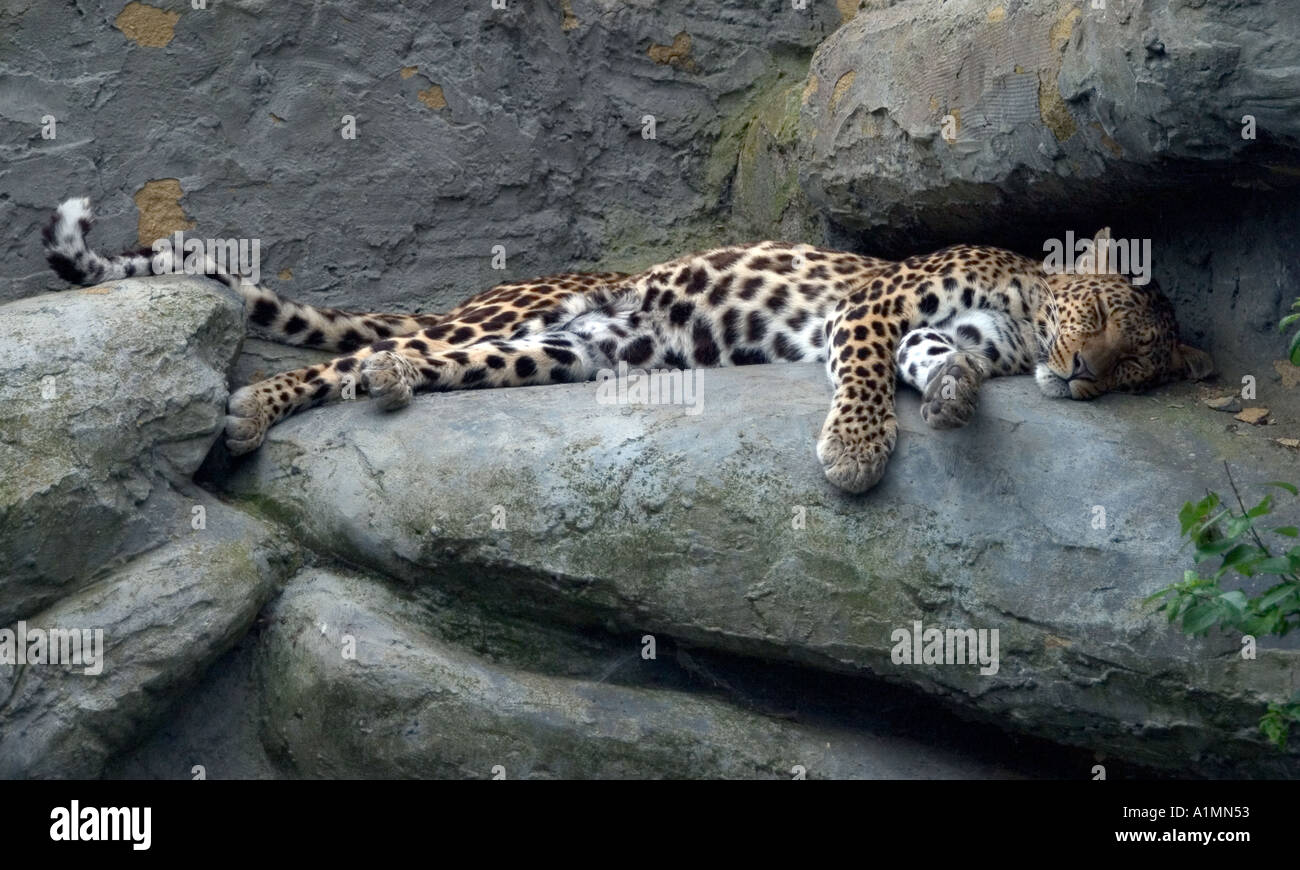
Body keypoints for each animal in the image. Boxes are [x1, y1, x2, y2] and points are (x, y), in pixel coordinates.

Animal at [43, 197, 1214, 493]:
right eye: (1101, 323)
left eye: (1136, 368)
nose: (1080, 375)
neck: (1018, 313)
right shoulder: (879, 305)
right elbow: (865, 380)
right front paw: (852, 452)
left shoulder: (925, 329)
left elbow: (936, 366)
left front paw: (960, 394)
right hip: (512, 319)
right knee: (325, 357)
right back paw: (259, 405)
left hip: (570, 354)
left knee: (414, 365)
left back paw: (390, 376)